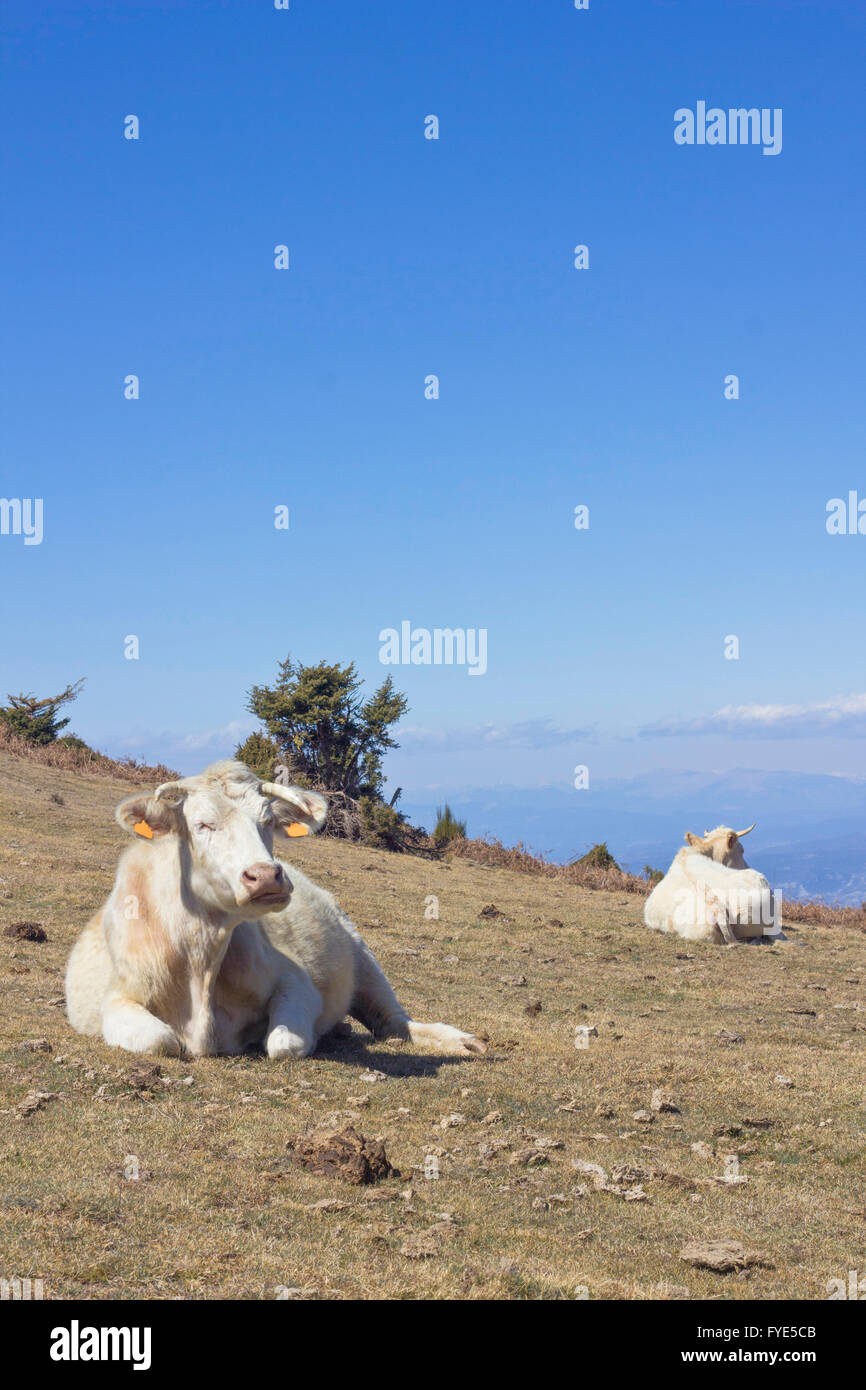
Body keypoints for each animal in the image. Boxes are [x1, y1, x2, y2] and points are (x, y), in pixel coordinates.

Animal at [65, 760, 485, 1059]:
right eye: (202, 825)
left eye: (267, 821)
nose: (266, 875)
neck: (199, 961)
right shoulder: (118, 996)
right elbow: (161, 1041)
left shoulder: (295, 981)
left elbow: (283, 1045)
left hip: (362, 956)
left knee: (392, 1021)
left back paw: (460, 1041)